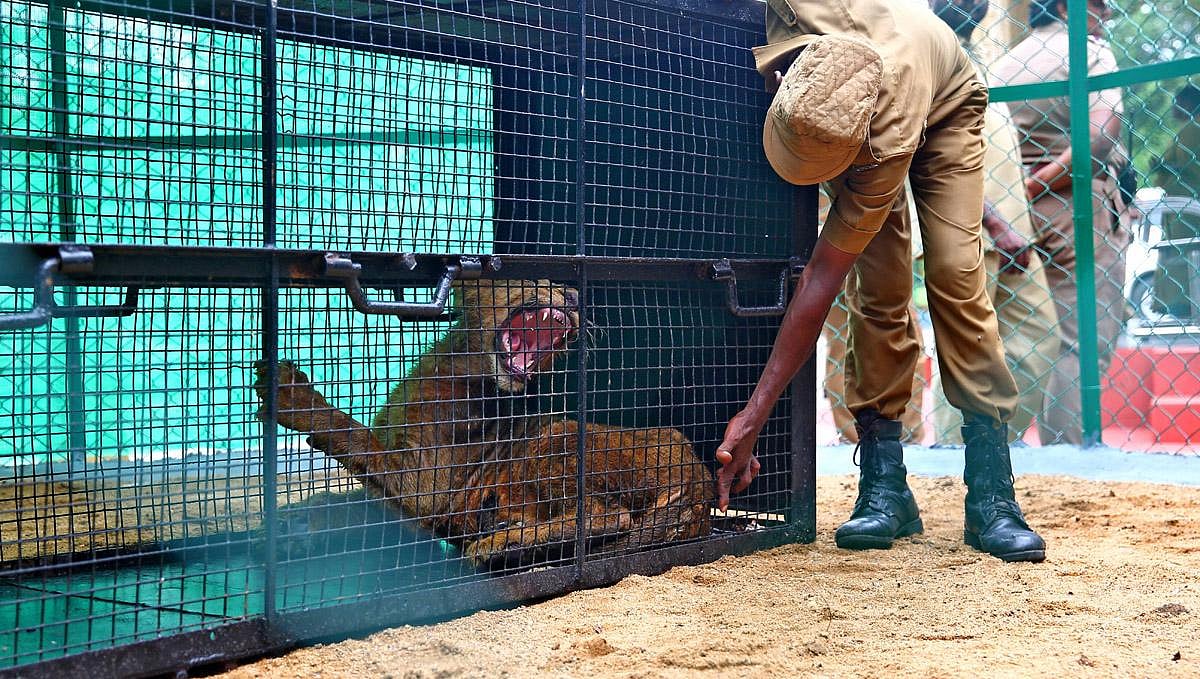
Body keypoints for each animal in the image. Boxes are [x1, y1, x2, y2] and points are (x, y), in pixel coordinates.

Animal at [252, 278, 712, 570]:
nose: (575, 294)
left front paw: (289, 393)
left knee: (607, 516)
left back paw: (500, 544)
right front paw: (292, 526)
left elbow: (358, 436)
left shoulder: (427, 483)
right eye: (541, 280)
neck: (459, 365)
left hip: (557, 437)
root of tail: (700, 485)